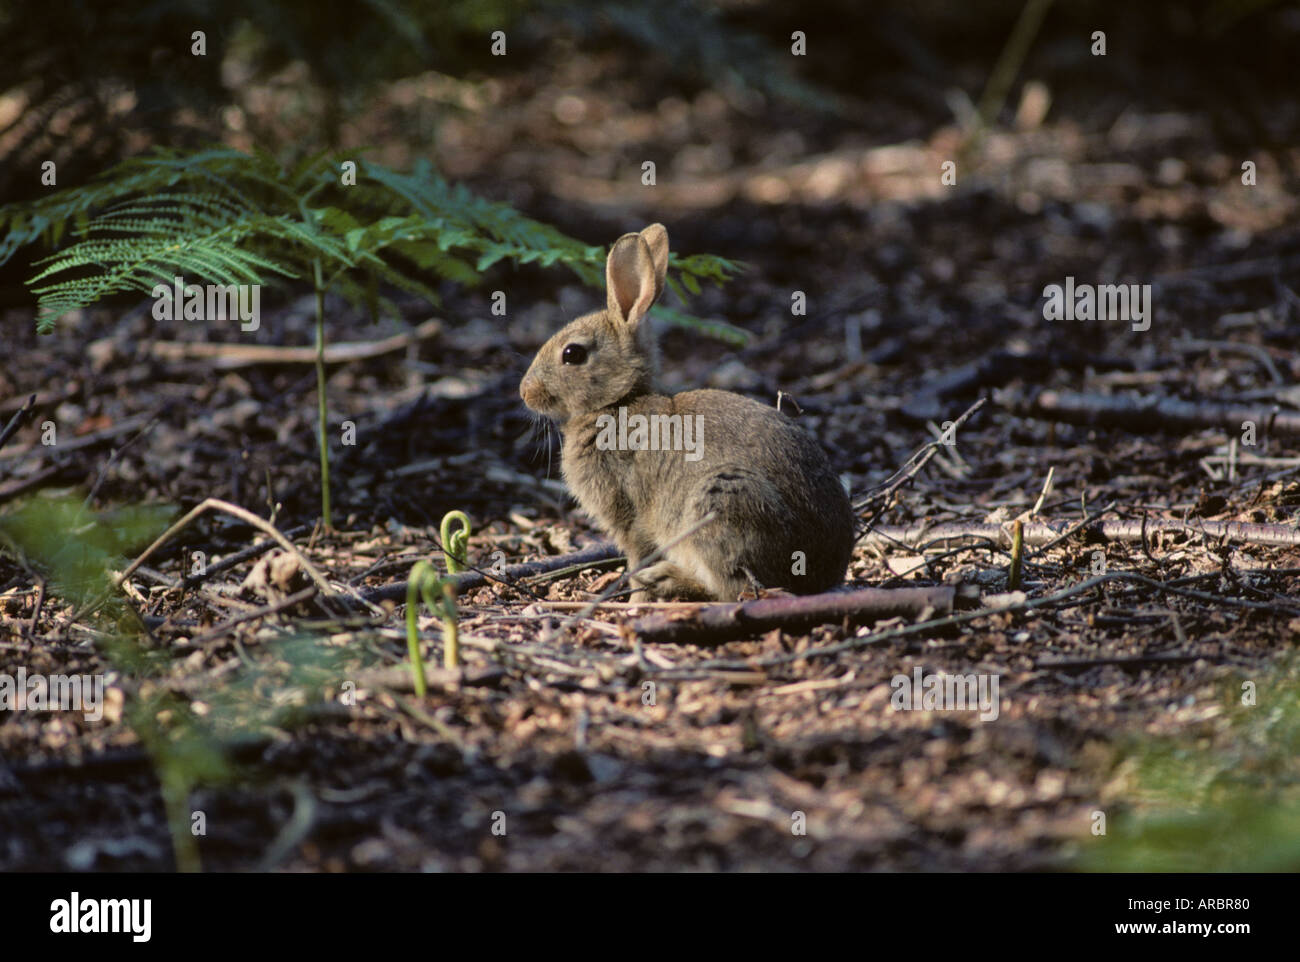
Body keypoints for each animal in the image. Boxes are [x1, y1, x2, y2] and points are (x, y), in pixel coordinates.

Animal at [520, 223, 854, 603]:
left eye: (572, 354)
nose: (525, 391)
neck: (618, 403)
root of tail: (822, 577)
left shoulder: (630, 515)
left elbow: (636, 558)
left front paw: (635, 601)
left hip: (719, 506)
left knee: (731, 589)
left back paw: (664, 579)